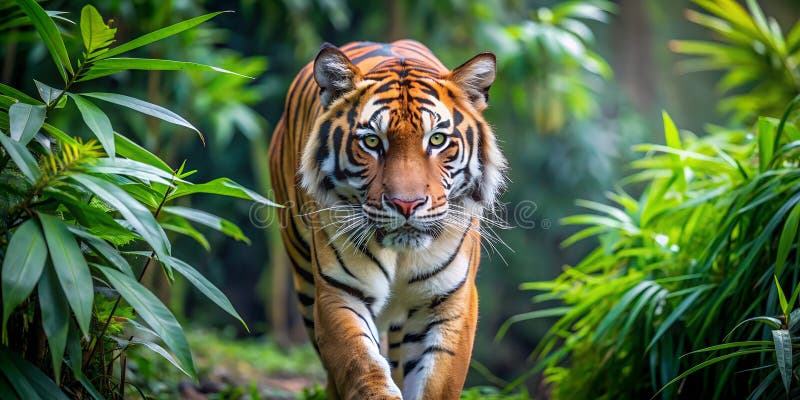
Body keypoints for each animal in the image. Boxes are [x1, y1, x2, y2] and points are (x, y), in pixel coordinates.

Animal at [268, 39, 507, 400]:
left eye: (437, 140)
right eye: (371, 142)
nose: (406, 204)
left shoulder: (449, 301)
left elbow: (434, 382)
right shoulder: (339, 293)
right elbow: (362, 367)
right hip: (305, 282)